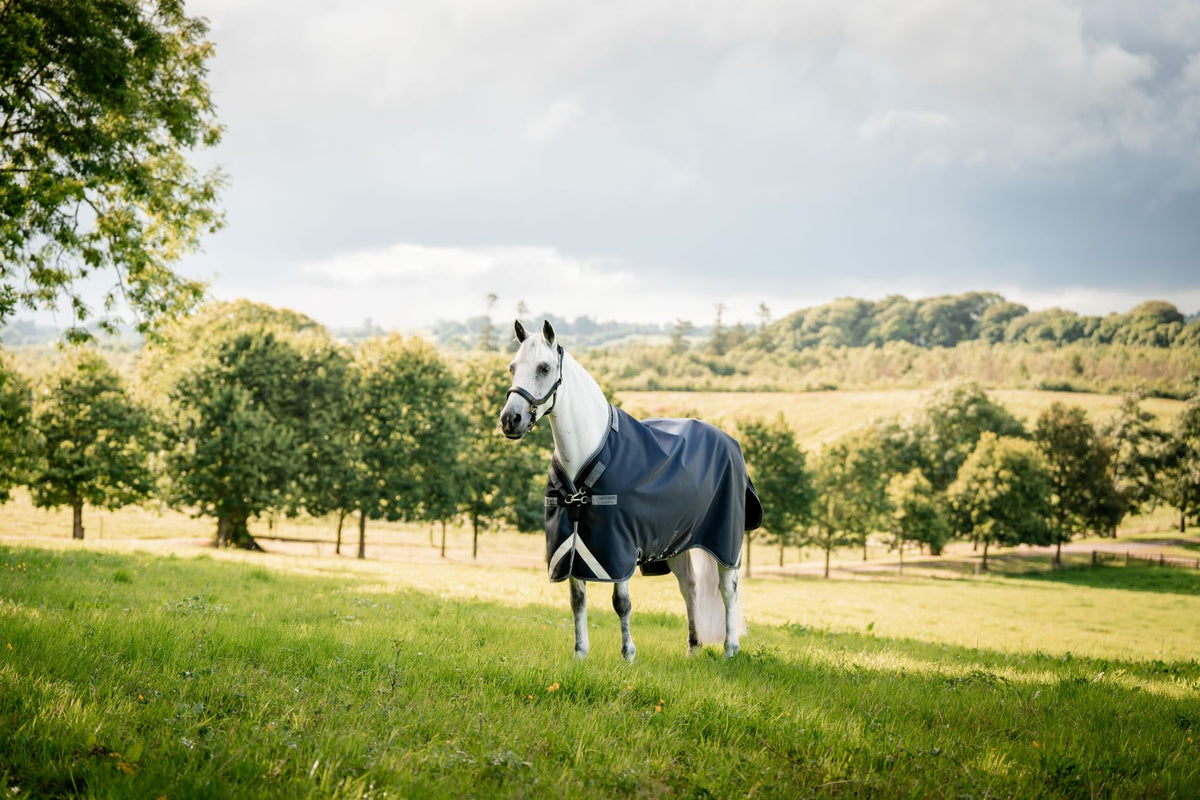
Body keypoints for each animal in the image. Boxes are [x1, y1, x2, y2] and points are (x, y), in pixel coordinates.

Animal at [499, 319, 762, 661]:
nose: (510, 419)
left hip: (726, 542)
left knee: (727, 590)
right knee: (689, 588)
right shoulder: (573, 540)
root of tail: (730, 442)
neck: (587, 452)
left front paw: (628, 654)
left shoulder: (618, 546)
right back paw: (693, 647)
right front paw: (580, 654)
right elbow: (577, 600)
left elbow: (621, 603)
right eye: (512, 367)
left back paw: (730, 649)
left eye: (544, 368)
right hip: (679, 542)